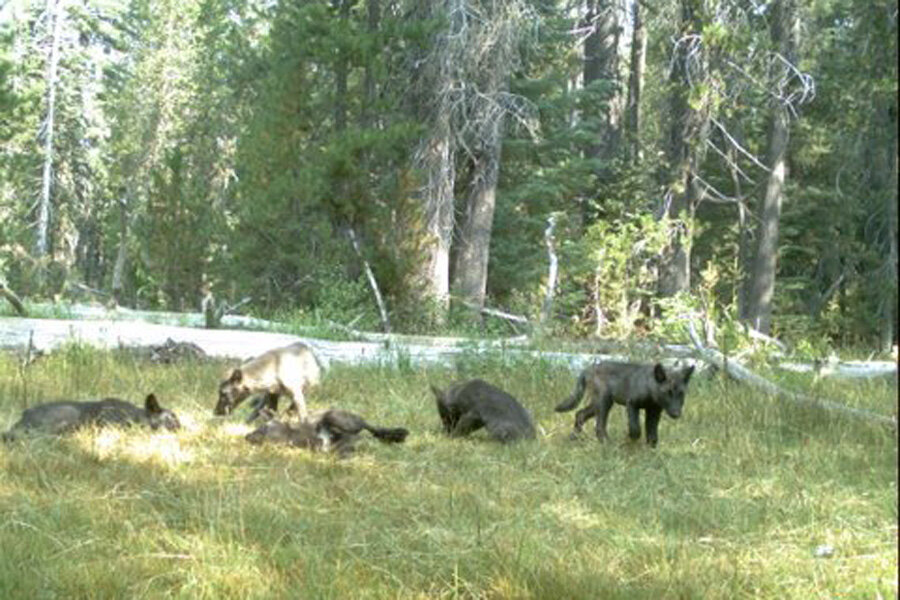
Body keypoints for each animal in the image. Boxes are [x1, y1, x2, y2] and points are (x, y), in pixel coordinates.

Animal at [555, 361, 695, 447]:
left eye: (681, 394)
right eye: (667, 393)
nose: (676, 414)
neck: (649, 388)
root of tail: (588, 369)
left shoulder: (654, 412)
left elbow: (652, 435)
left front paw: (651, 451)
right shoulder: (632, 404)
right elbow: (635, 428)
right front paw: (630, 441)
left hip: (598, 404)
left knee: (580, 414)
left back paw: (573, 438)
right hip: (604, 402)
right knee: (599, 426)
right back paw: (608, 444)